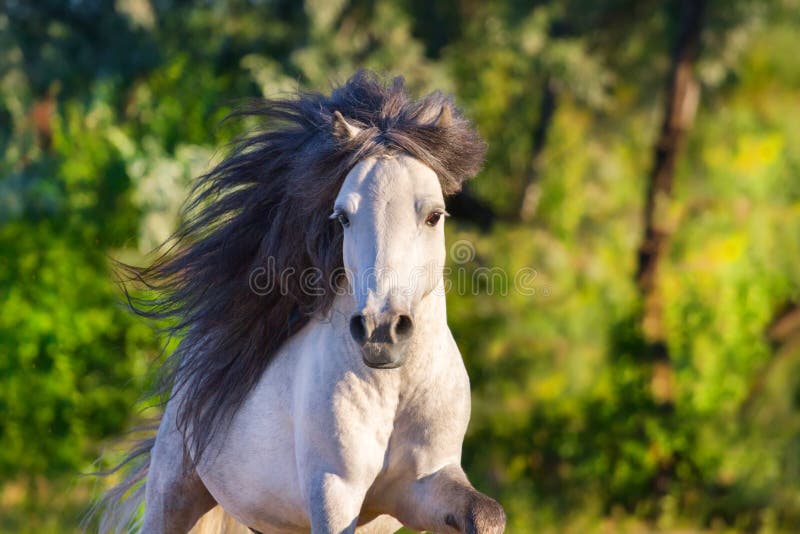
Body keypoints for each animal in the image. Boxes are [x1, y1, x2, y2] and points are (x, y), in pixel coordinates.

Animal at [95, 70, 506, 534]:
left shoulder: (424, 485)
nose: (381, 332)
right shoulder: (334, 492)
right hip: (174, 497)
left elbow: (485, 515)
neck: (397, 389)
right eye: (343, 217)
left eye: (434, 215)